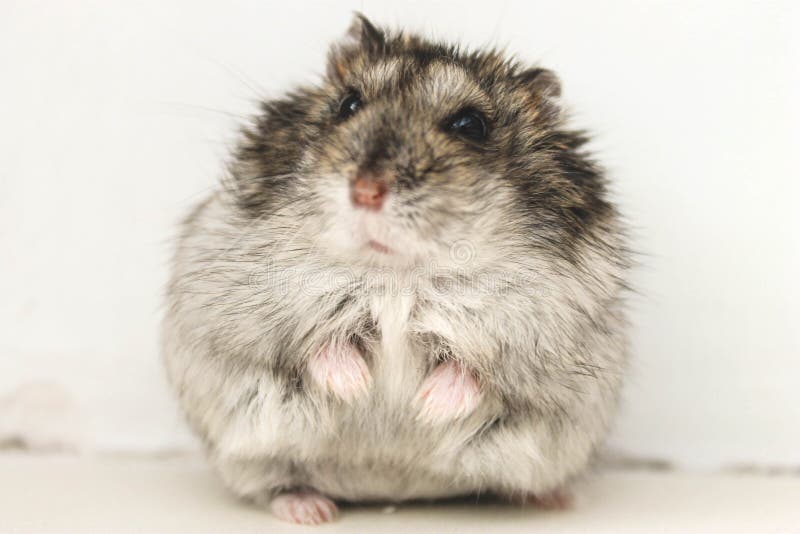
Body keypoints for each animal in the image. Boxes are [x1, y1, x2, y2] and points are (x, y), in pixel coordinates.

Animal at [162, 14, 630, 525]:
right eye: (348, 104)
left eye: (471, 125)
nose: (366, 191)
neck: (397, 275)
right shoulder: (259, 305)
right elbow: (316, 346)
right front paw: (357, 387)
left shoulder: (531, 330)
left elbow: (474, 370)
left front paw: (426, 407)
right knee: (276, 483)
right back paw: (309, 510)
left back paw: (553, 499)